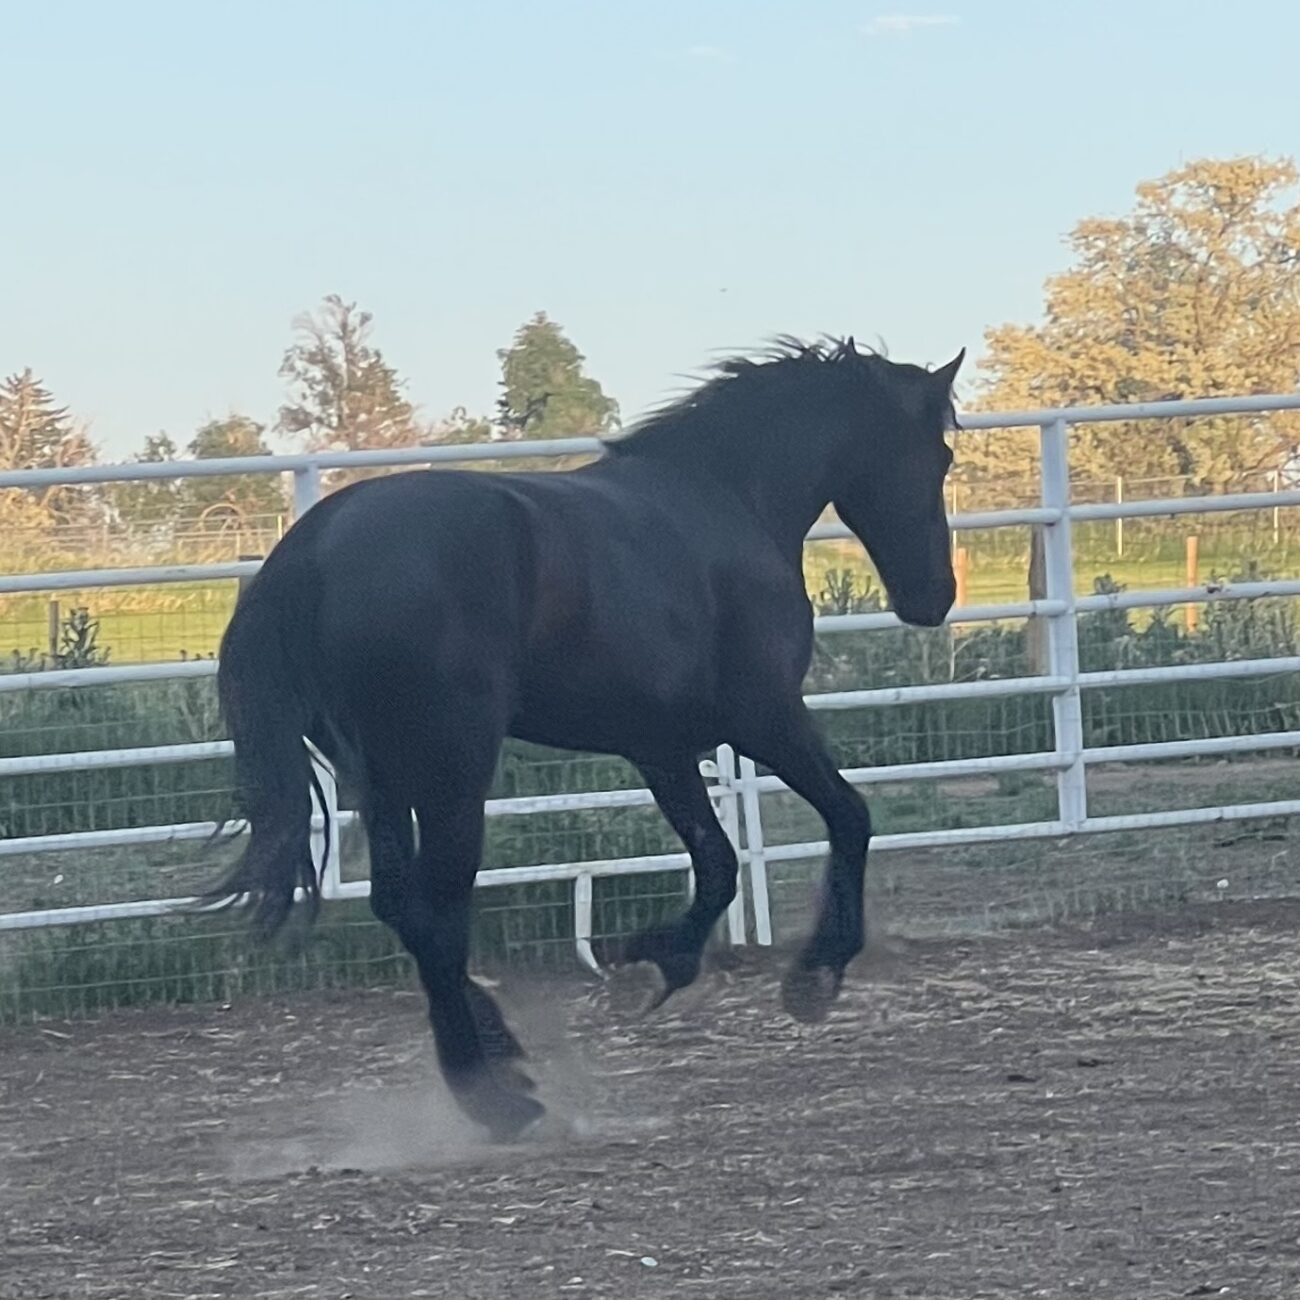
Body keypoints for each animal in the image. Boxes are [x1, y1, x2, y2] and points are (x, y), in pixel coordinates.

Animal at [201, 336, 964, 1141]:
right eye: (938, 455)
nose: (935, 596)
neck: (720, 499)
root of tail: (309, 554)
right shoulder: (767, 719)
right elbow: (849, 818)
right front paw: (814, 975)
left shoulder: (662, 746)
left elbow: (718, 863)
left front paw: (654, 966)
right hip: (452, 776)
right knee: (436, 914)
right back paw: (497, 1098)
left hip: (377, 779)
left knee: (401, 907)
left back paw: (504, 1060)